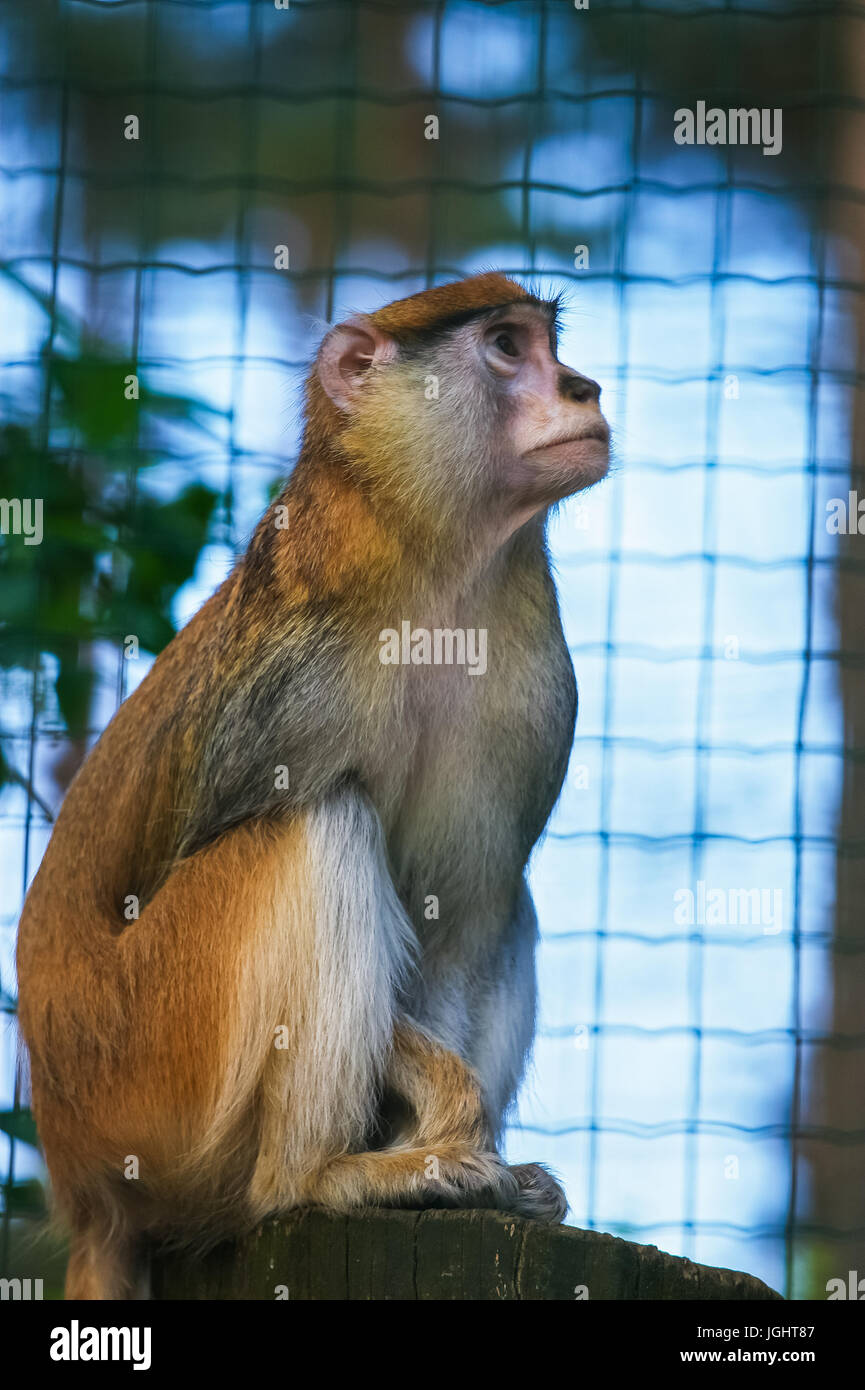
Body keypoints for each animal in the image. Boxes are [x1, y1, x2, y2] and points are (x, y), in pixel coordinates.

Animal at [15, 272, 610, 1300]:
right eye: (505, 346)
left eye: (550, 346)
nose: (584, 388)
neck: (432, 571)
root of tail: (82, 1184)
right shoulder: (290, 683)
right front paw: (445, 1127)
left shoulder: (536, 697)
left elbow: (466, 910)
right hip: (142, 1075)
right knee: (310, 824)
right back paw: (319, 1175)